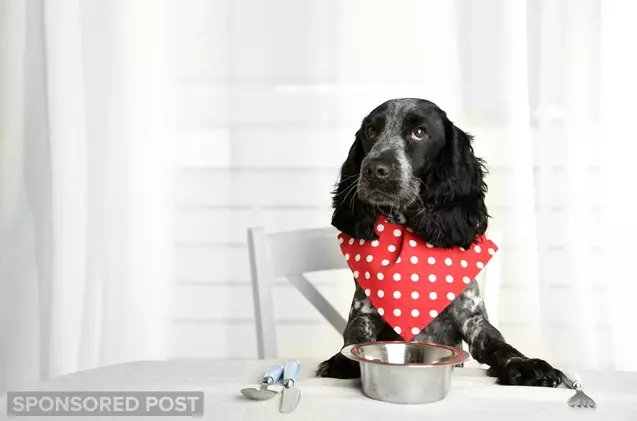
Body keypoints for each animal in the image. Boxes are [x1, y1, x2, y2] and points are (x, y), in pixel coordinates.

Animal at [316, 97, 560, 386]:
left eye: (419, 132)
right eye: (370, 131)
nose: (373, 170)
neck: (408, 232)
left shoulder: (472, 319)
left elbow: (501, 345)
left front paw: (526, 365)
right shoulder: (363, 311)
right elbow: (355, 335)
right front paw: (342, 360)